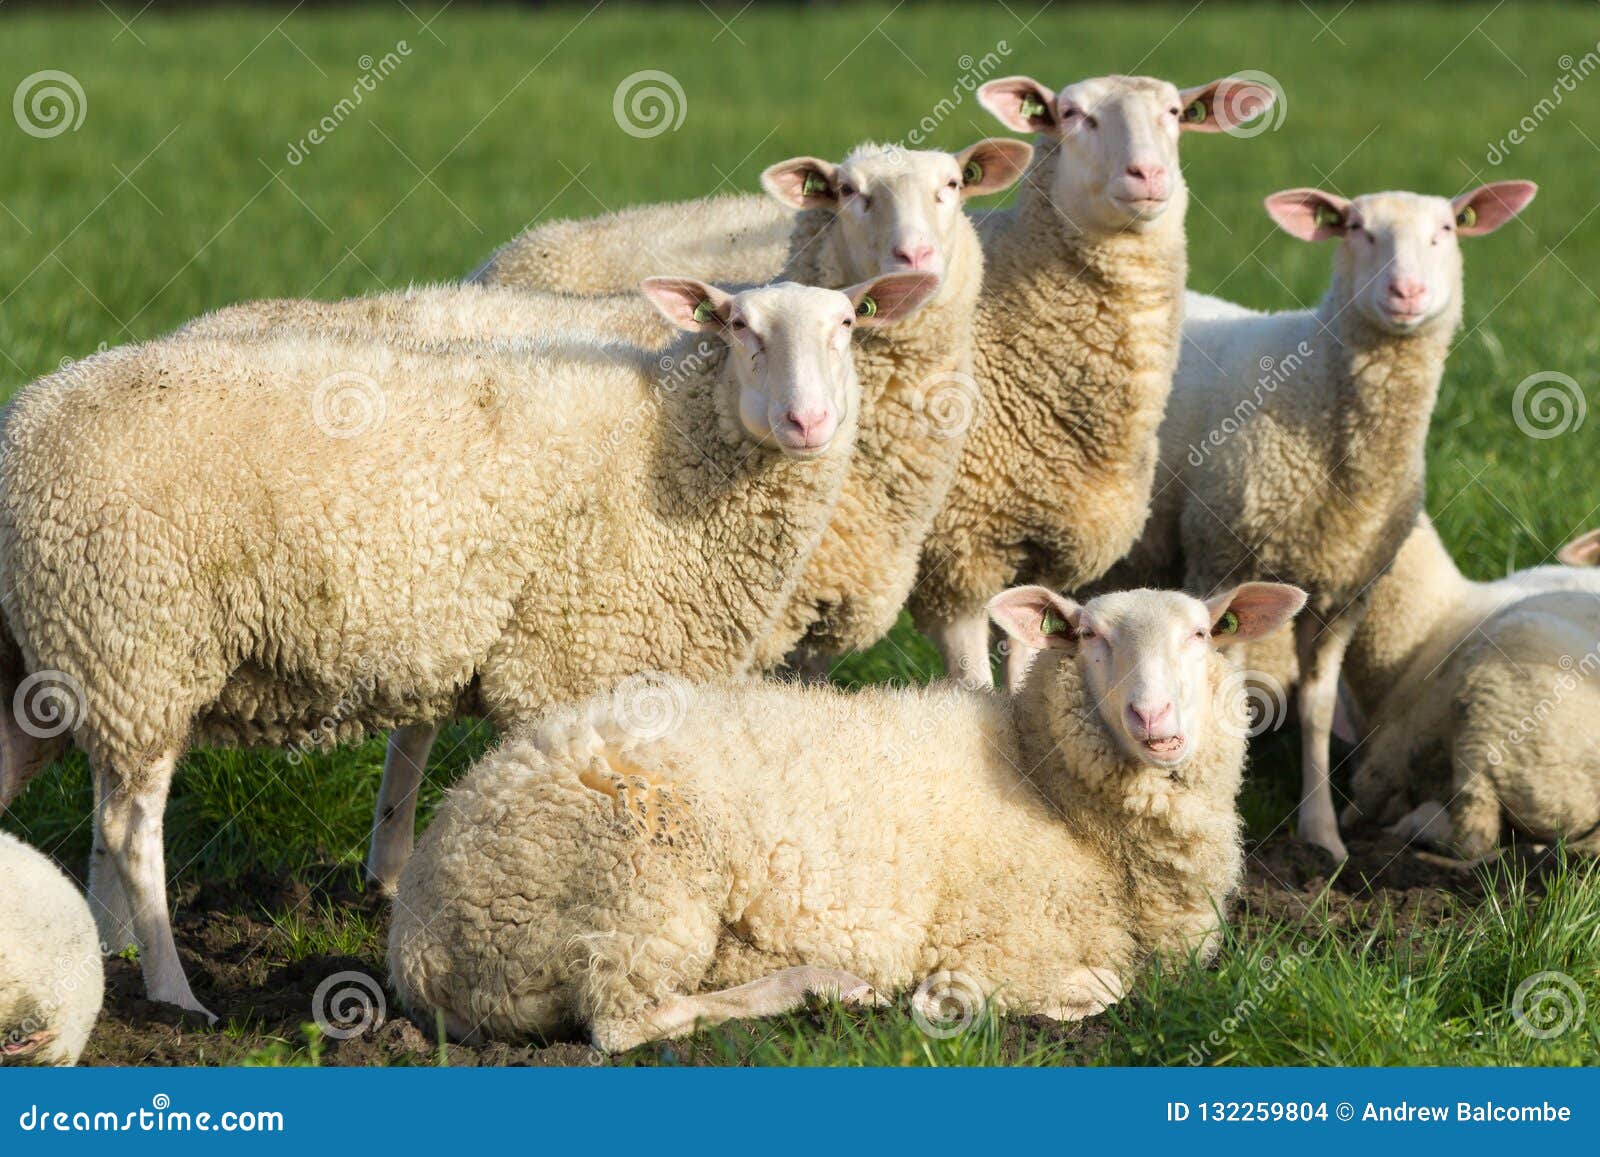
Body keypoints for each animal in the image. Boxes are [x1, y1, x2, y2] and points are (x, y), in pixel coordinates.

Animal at [0, 272, 938, 1019]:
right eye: (739, 326)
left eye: (847, 323)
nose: (807, 420)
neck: (671, 443)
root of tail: (29, 414)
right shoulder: (570, 660)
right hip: (135, 647)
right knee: (129, 830)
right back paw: (174, 992)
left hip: (53, 664)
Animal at [388, 580, 1306, 1050]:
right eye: (1087, 636)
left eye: (1203, 632)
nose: (1157, 722)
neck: (1046, 780)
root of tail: (416, 938)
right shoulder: (1004, 934)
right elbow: (1107, 984)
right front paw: (948, 999)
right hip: (640, 879)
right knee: (626, 1022)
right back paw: (826, 987)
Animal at [905, 73, 1278, 692]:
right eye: (1073, 114)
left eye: (1174, 112)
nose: (1147, 174)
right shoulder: (958, 552)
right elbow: (972, 683)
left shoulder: (1047, 550)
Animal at [1115, 180, 1538, 860]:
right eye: (1357, 229)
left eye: (1446, 229)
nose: (1406, 293)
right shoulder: (1222, 558)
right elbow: (1231, 698)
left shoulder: (1344, 592)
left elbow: (1315, 710)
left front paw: (1323, 834)